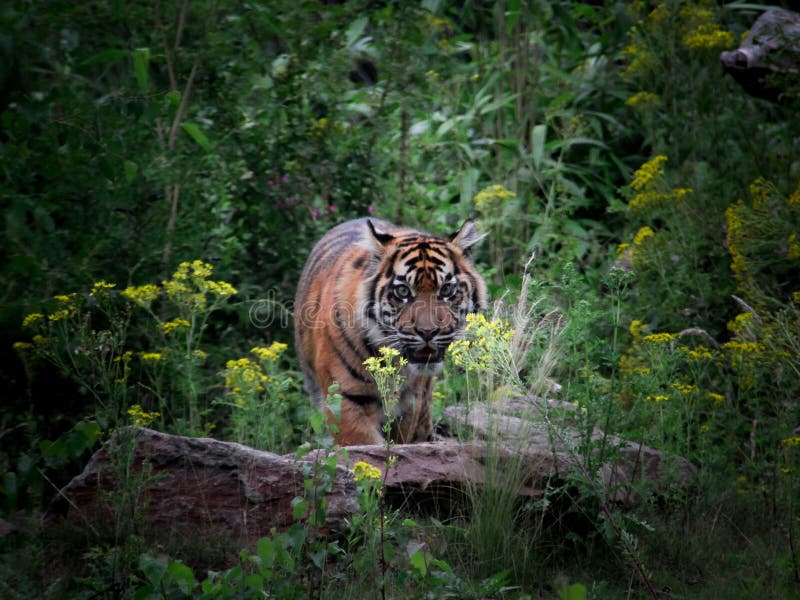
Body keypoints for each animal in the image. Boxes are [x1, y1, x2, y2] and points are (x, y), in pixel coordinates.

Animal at [294, 218, 487, 446]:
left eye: (447, 289)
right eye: (402, 291)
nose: (428, 332)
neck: (395, 363)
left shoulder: (411, 406)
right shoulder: (345, 399)